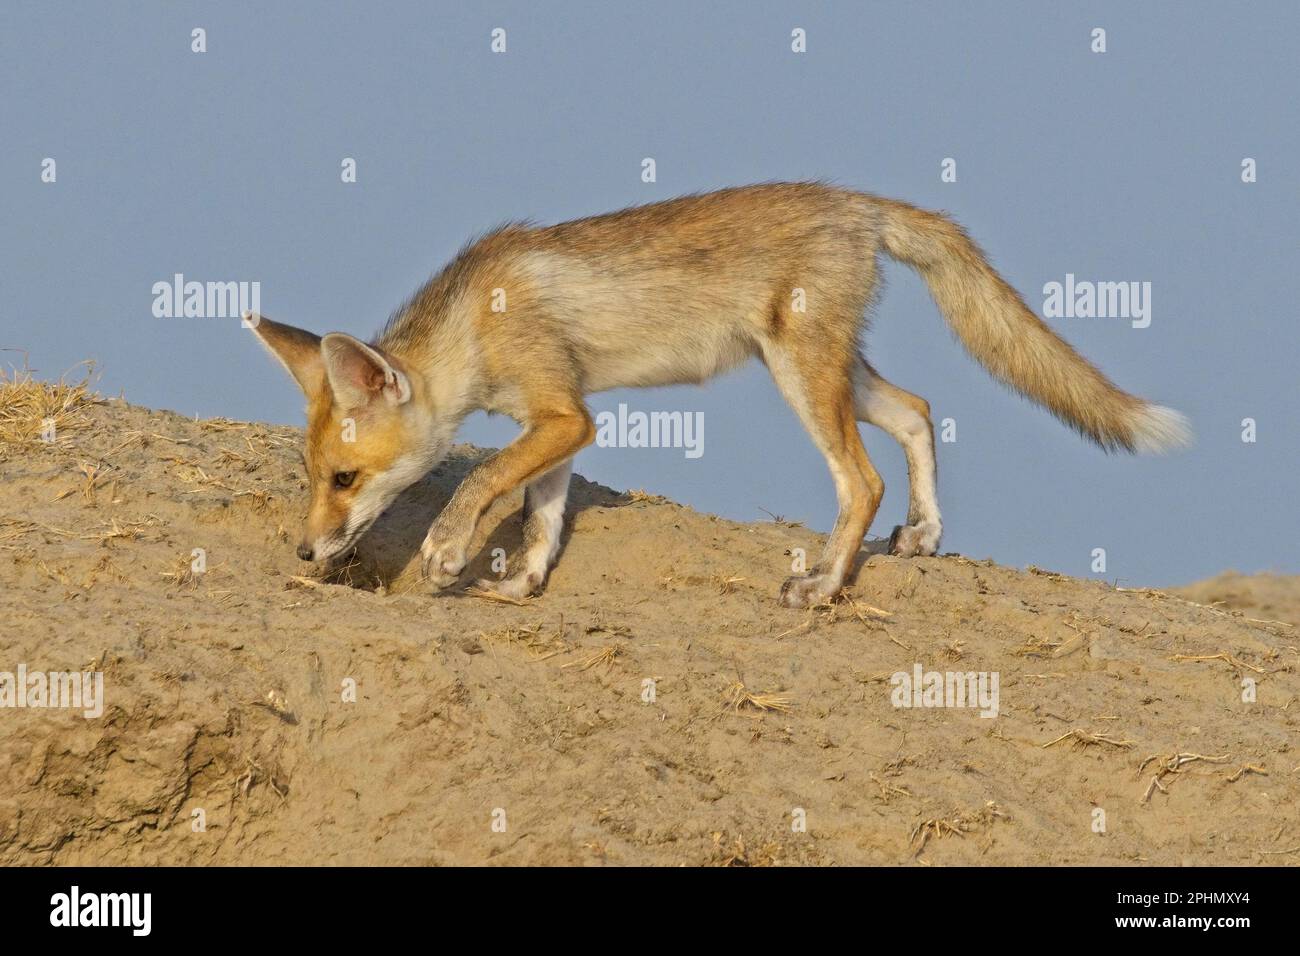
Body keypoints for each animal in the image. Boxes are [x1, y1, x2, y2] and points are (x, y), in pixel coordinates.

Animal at [247, 182, 1190, 608]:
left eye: (343, 480)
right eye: (312, 478)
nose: (302, 549)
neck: (478, 318)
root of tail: (853, 200)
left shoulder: (562, 412)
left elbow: (482, 482)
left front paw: (446, 552)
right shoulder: (559, 424)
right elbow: (542, 514)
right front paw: (523, 585)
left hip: (802, 377)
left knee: (862, 479)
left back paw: (825, 582)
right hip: (829, 371)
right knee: (920, 411)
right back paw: (922, 534)